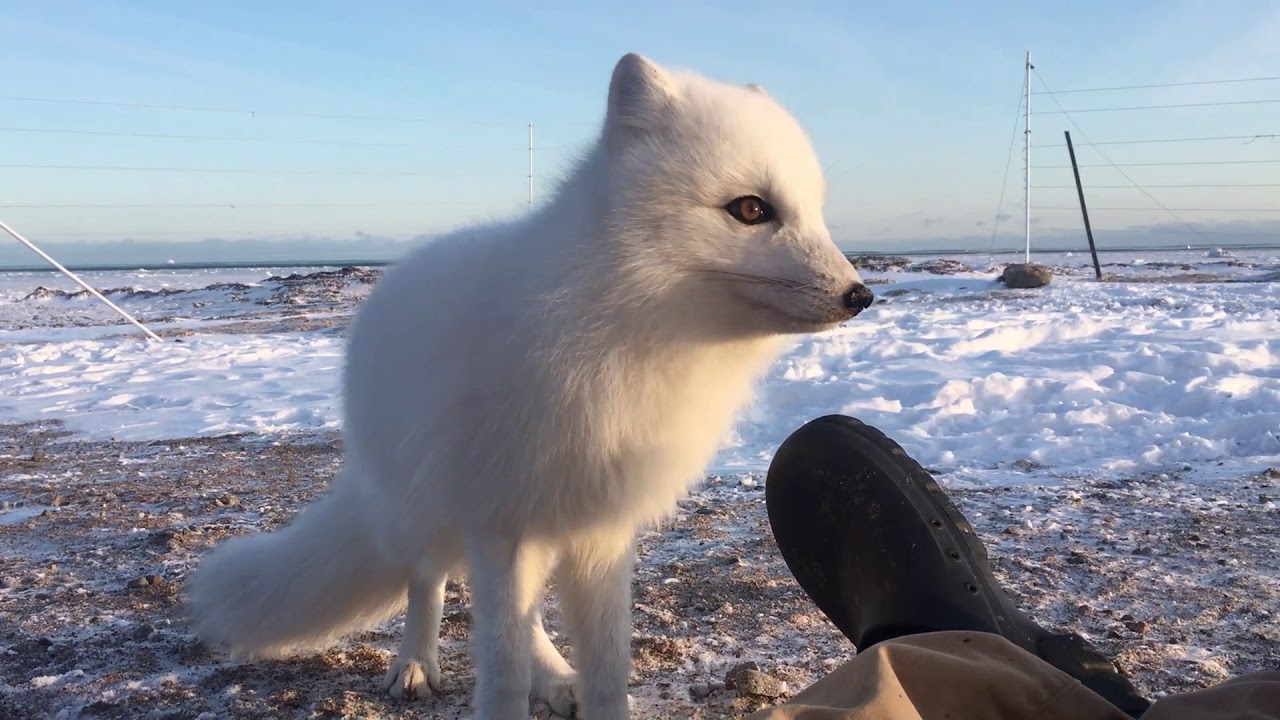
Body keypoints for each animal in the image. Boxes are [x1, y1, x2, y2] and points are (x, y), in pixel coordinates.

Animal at [187, 52, 873, 720]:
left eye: (815, 209)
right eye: (752, 209)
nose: (860, 295)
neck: (618, 330)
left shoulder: (600, 528)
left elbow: (606, 665)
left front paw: (586, 690)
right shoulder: (501, 523)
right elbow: (501, 671)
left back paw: (556, 676)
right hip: (428, 508)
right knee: (428, 580)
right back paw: (416, 663)